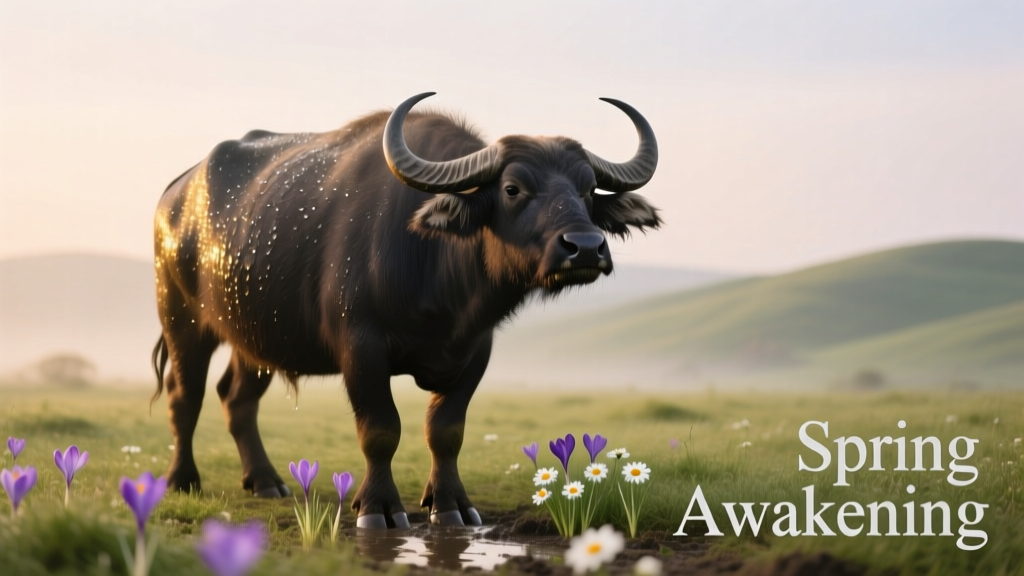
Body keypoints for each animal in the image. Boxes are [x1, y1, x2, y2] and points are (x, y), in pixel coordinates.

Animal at [152, 93, 660, 528]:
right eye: (513, 188)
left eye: (589, 189)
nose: (586, 247)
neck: (437, 271)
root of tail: (176, 193)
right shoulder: (361, 348)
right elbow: (380, 430)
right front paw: (377, 508)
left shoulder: (475, 351)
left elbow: (446, 431)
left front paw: (450, 504)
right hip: (181, 318)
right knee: (185, 395)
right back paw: (183, 480)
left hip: (256, 337)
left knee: (236, 398)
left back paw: (265, 481)